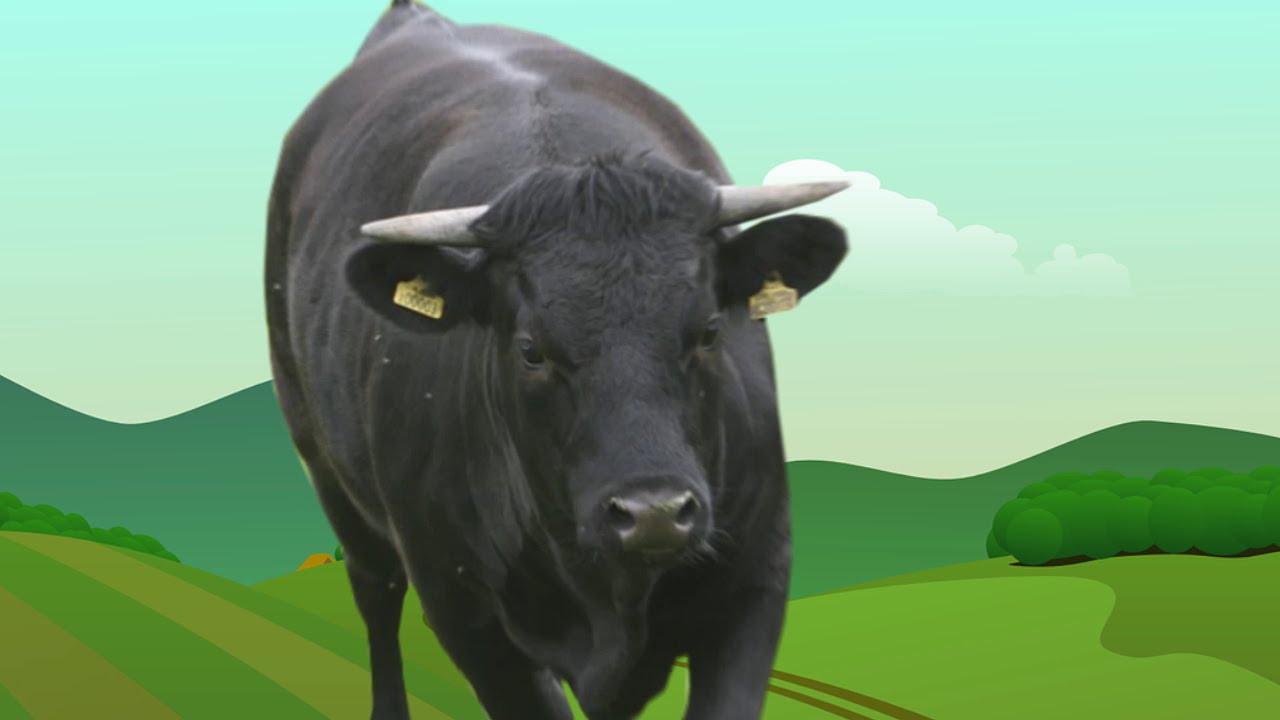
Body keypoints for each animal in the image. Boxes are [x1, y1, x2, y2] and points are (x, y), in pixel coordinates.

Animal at [265, 2, 849, 718]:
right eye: (530, 351)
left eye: (711, 331)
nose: (653, 511)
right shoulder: (467, 615)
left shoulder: (755, 582)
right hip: (325, 466)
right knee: (376, 592)